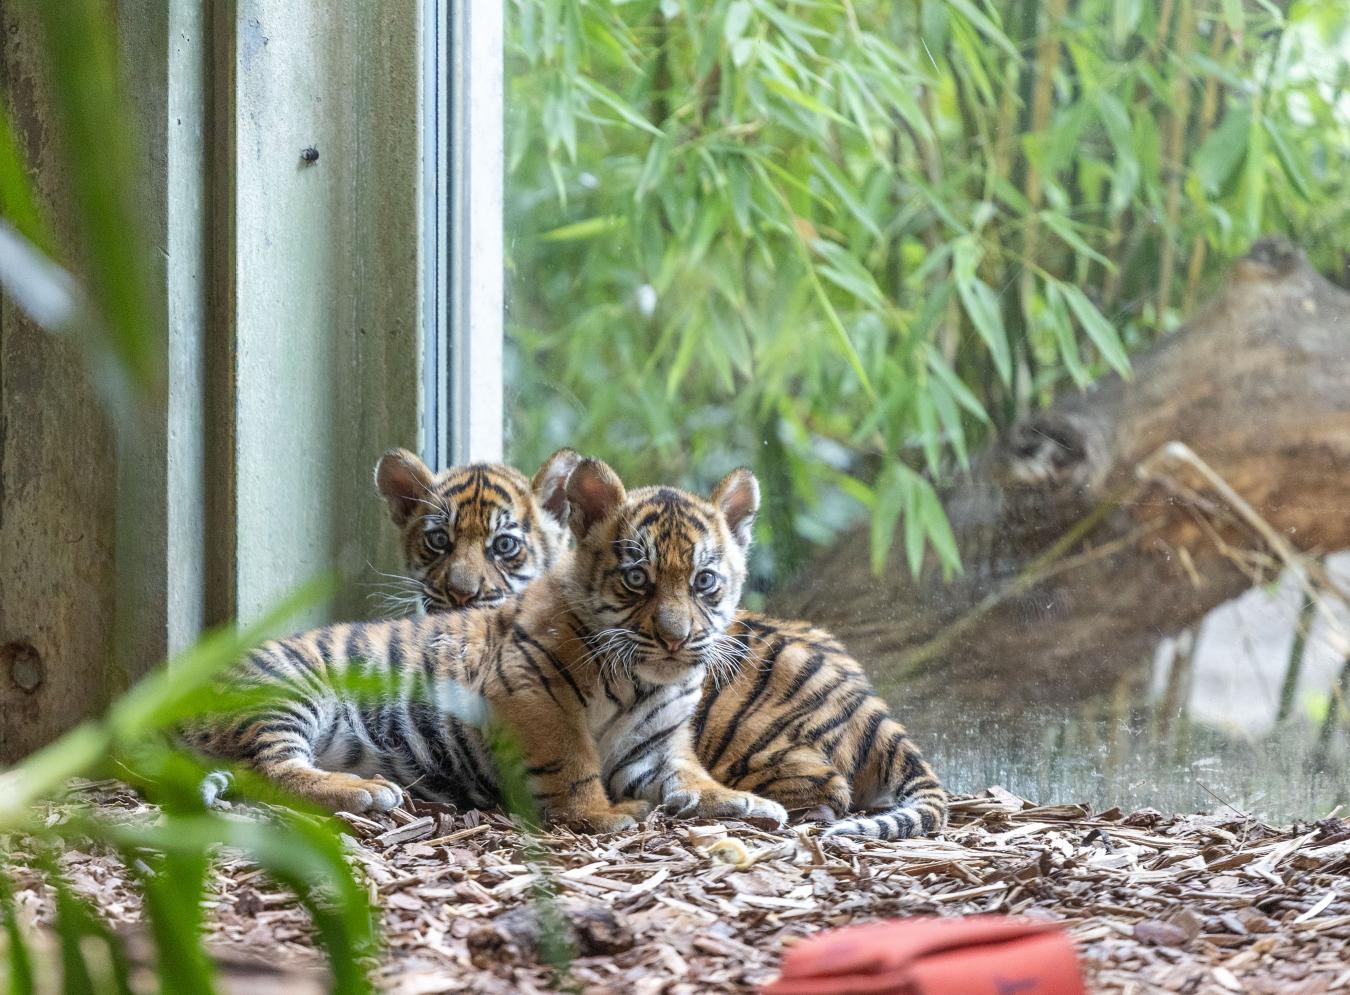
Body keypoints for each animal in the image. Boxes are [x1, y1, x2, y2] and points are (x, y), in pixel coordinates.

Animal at [191, 452, 789, 833]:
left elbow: (691, 774)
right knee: (270, 769)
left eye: (704, 582)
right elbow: (572, 761)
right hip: (283, 694)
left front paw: (742, 801)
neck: (645, 682)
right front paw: (601, 816)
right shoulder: (529, 694)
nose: (674, 637)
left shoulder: (656, 745)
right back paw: (365, 792)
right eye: (636, 578)